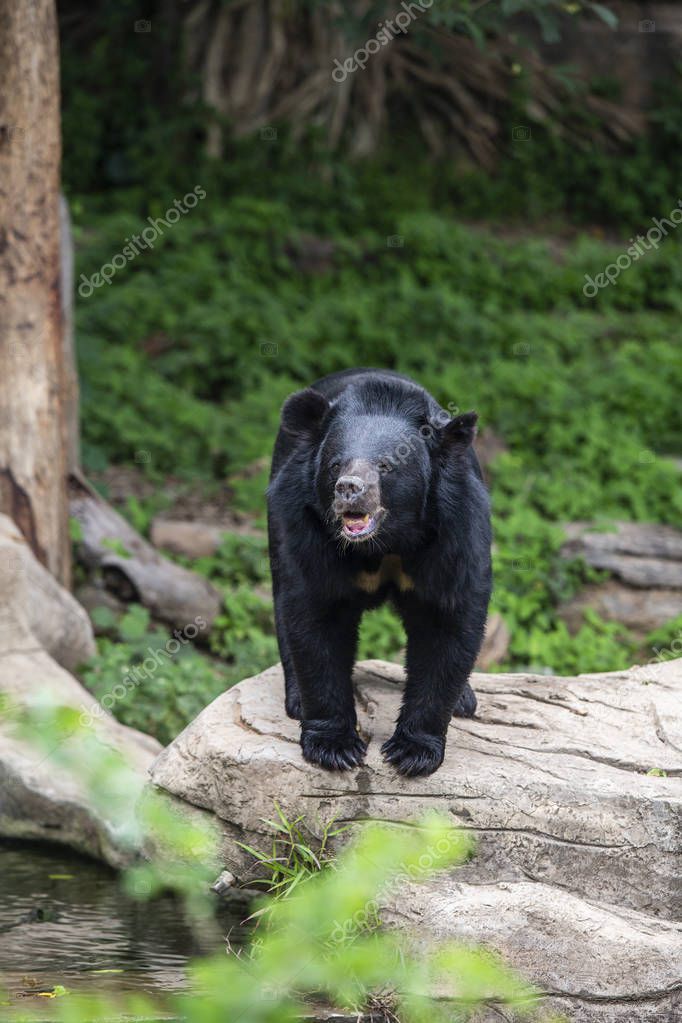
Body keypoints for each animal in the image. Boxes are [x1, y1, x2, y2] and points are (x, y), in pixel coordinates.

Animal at [267, 368, 492, 777]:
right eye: (336, 465)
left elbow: (447, 621)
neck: (385, 542)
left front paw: (412, 752)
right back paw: (296, 699)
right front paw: (334, 747)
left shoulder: (455, 528)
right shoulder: (304, 523)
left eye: (387, 466)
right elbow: (314, 616)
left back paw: (464, 700)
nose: (349, 489)